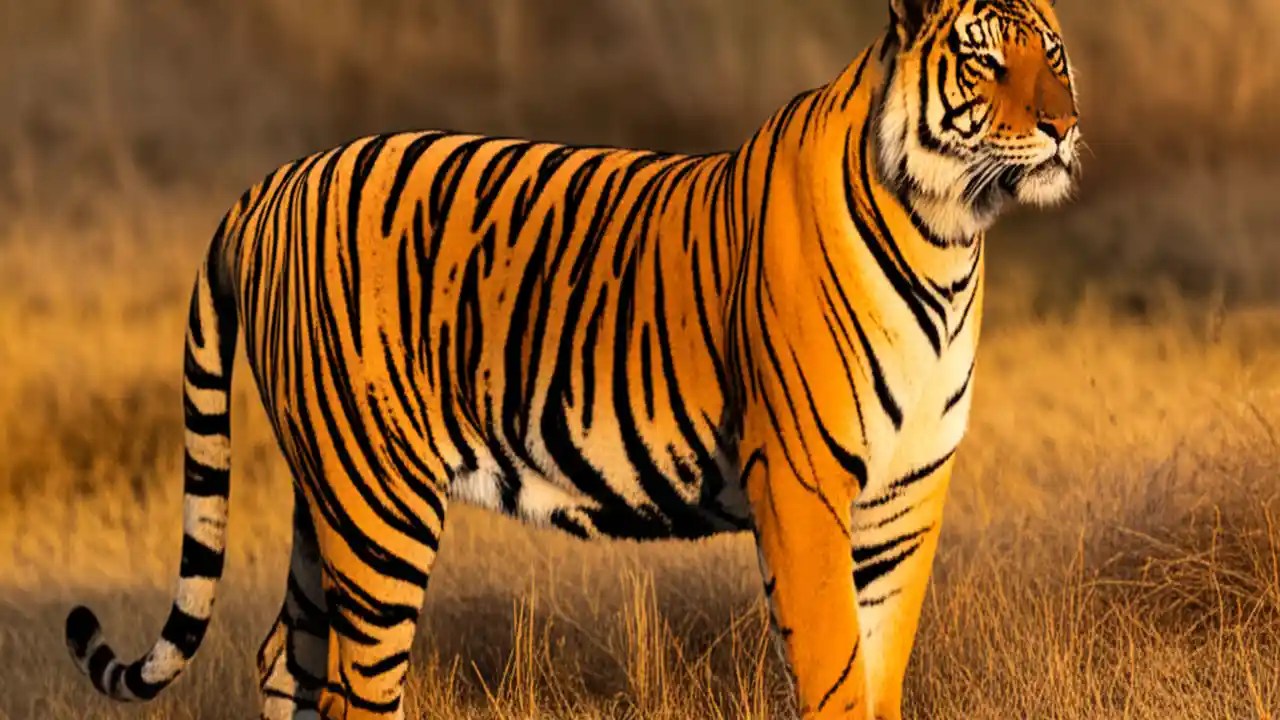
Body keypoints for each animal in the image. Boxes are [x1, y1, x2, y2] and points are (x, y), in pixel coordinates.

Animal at [65, 0, 1080, 717]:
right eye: (986, 60)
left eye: (1056, 56)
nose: (1064, 127)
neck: (946, 237)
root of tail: (270, 185)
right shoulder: (802, 483)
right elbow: (833, 671)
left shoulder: (908, 491)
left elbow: (880, 662)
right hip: (379, 497)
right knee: (357, 687)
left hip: (329, 497)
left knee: (288, 657)